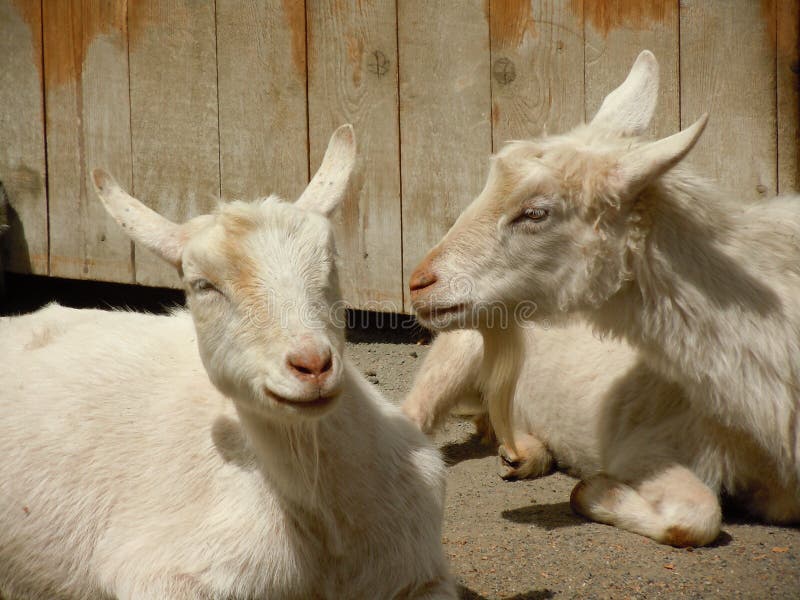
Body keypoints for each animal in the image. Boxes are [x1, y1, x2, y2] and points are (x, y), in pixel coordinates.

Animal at [407, 51, 800, 545]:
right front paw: (593, 490)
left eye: (535, 212)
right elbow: (699, 515)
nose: (419, 282)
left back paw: (524, 453)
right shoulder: (644, 444)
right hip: (460, 345)